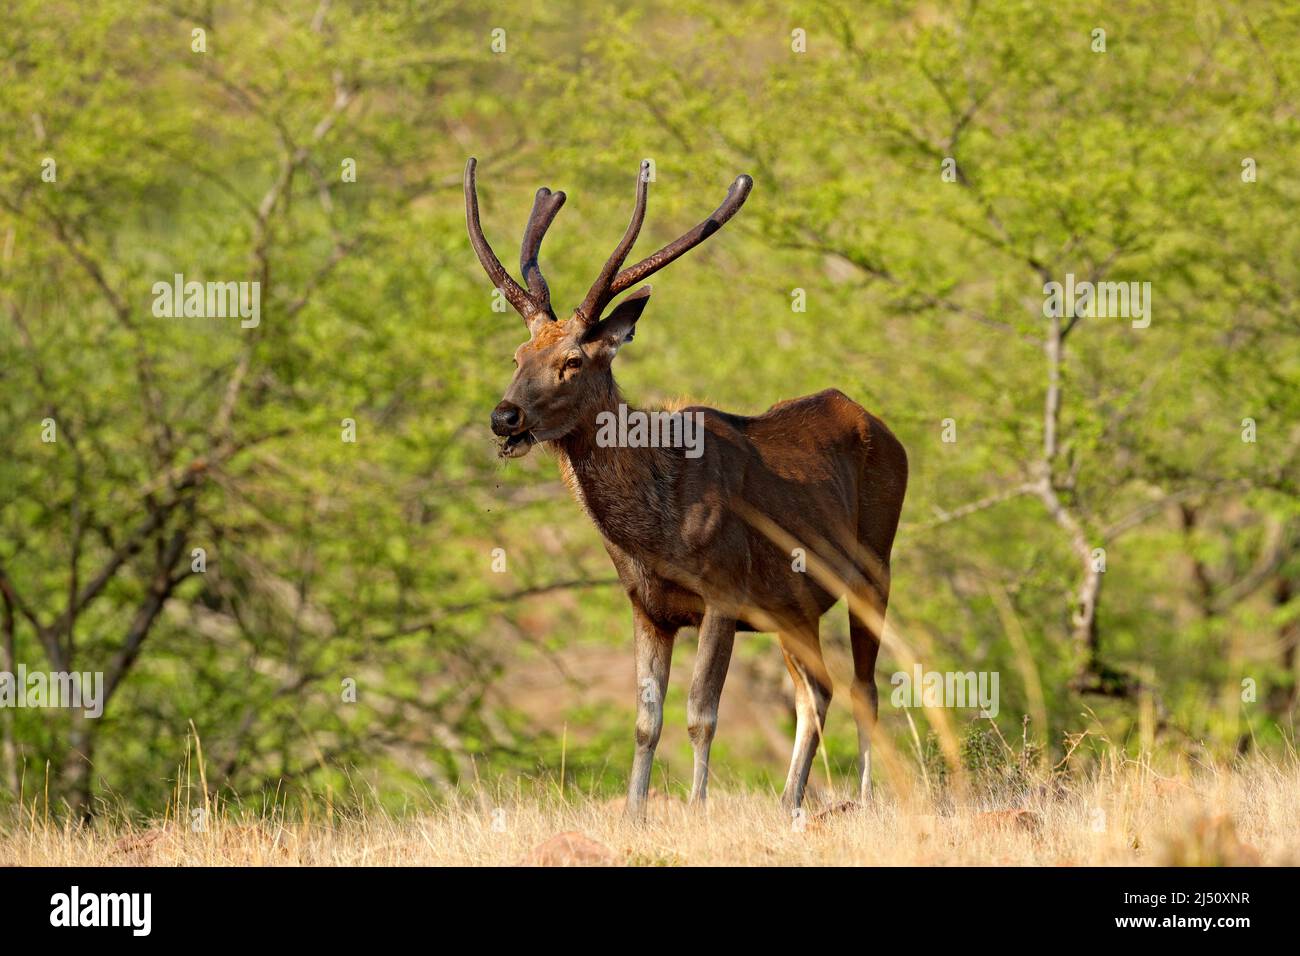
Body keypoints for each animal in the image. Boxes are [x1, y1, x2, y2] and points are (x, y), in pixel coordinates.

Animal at [465, 157, 908, 817]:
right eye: (518, 354)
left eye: (573, 360)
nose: (505, 417)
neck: (657, 530)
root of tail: (885, 428)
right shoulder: (647, 606)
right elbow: (645, 721)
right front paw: (633, 815)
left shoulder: (723, 589)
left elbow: (701, 714)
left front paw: (697, 808)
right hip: (793, 607)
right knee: (818, 691)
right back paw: (790, 802)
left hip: (874, 566)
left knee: (865, 687)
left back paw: (865, 797)